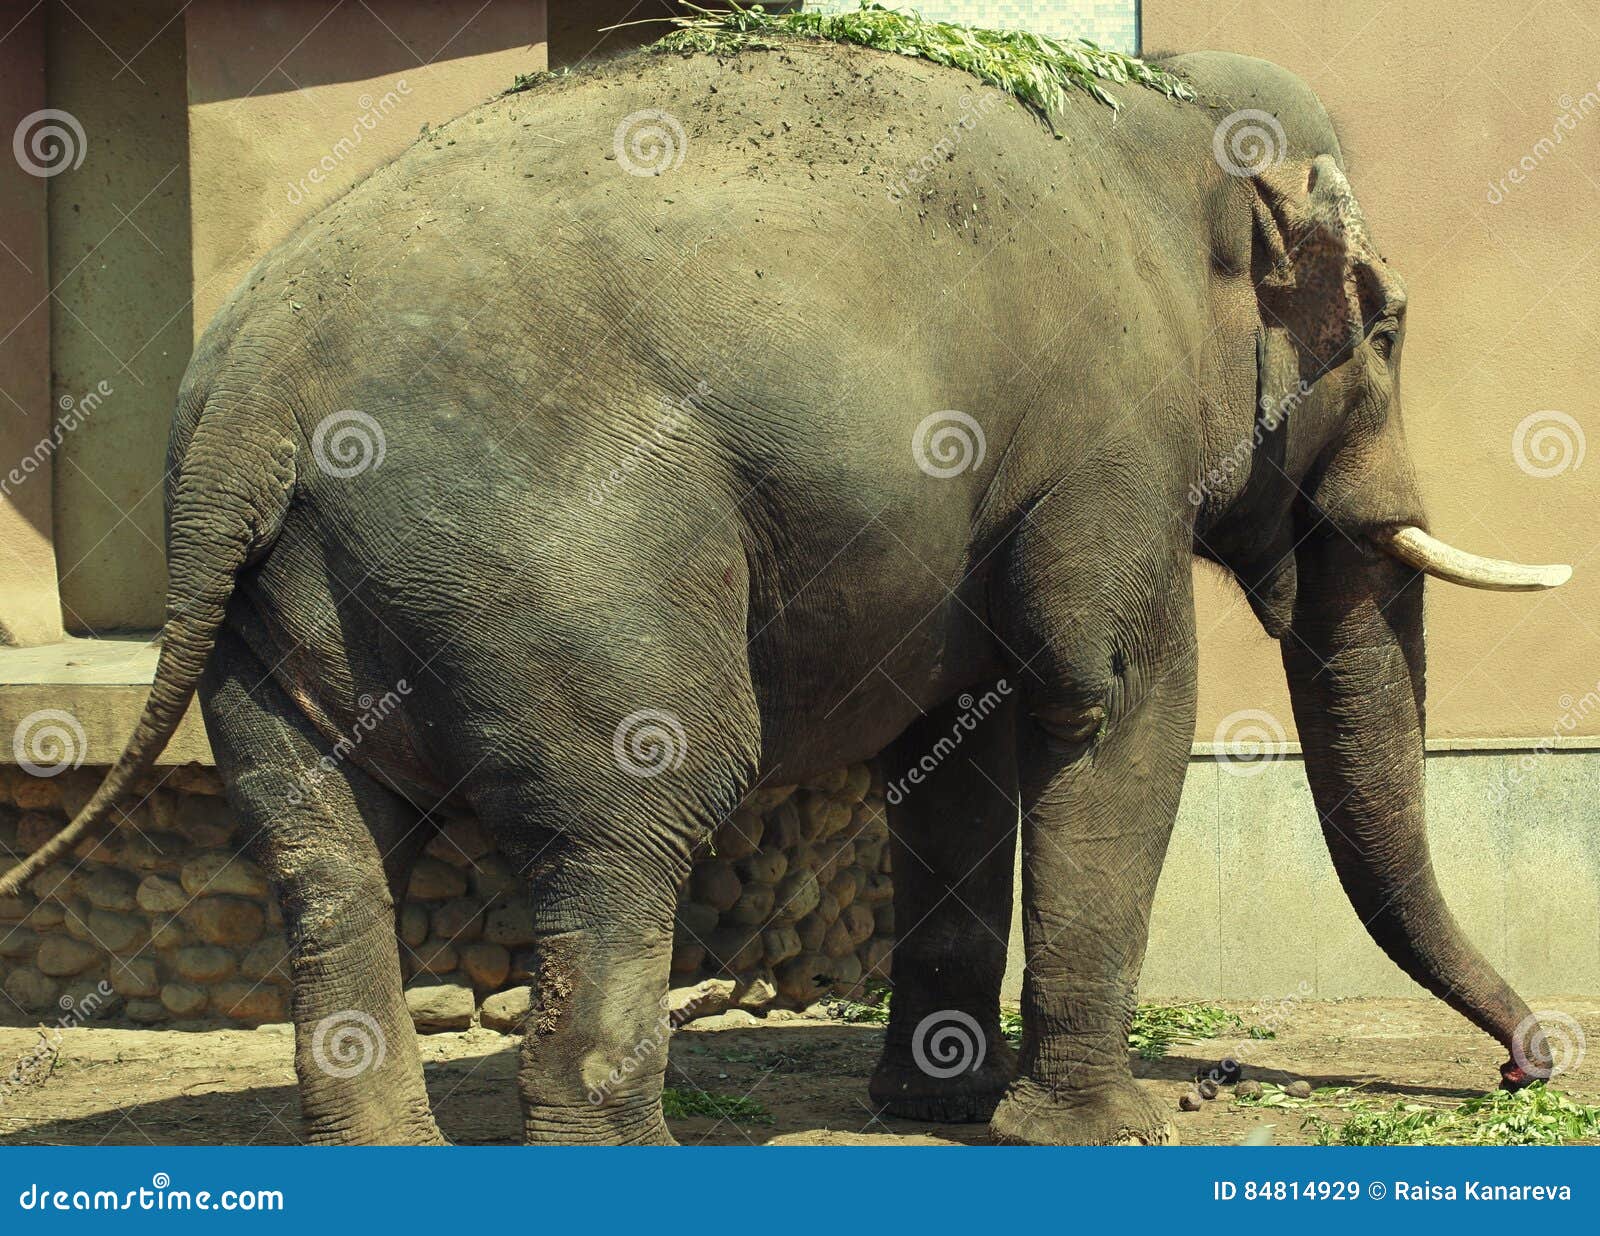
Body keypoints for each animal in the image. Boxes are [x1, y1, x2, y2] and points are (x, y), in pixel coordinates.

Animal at [0, 37, 1572, 1145]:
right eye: (1385, 327)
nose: (1531, 1060)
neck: (1156, 106)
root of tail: (245, 404)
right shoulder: (1101, 441)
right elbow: (1116, 700)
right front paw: (1106, 1133)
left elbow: (953, 754)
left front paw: (937, 1103)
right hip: (563, 572)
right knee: (641, 808)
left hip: (269, 619)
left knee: (322, 849)